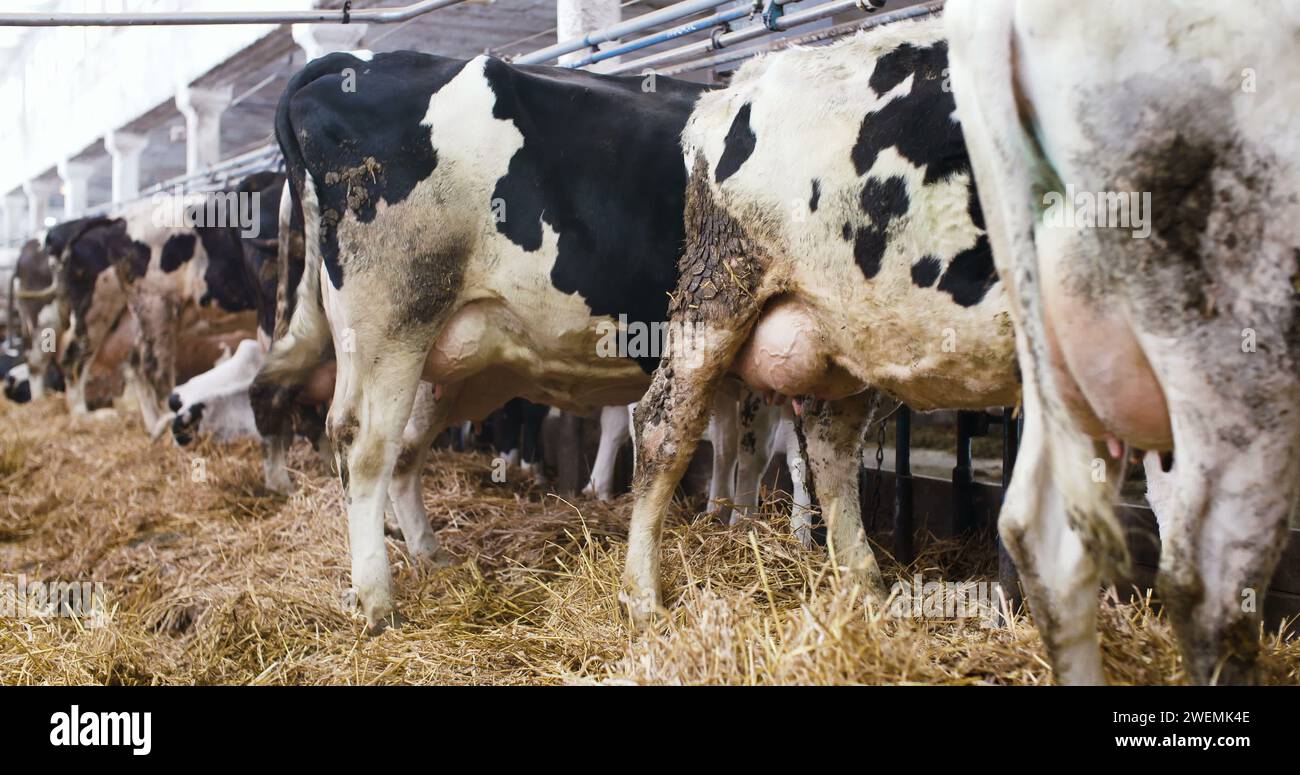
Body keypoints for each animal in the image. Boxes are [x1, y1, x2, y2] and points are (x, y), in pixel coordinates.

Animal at [251, 50, 728, 631]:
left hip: (434, 360)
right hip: (392, 325)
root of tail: (363, 60)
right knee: (362, 447)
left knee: (396, 449)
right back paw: (378, 601)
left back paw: (430, 556)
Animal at [620, 19, 1022, 629]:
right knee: (663, 422)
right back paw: (644, 600)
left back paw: (867, 594)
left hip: (852, 328)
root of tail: (729, 89)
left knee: (830, 449)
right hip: (719, 282)